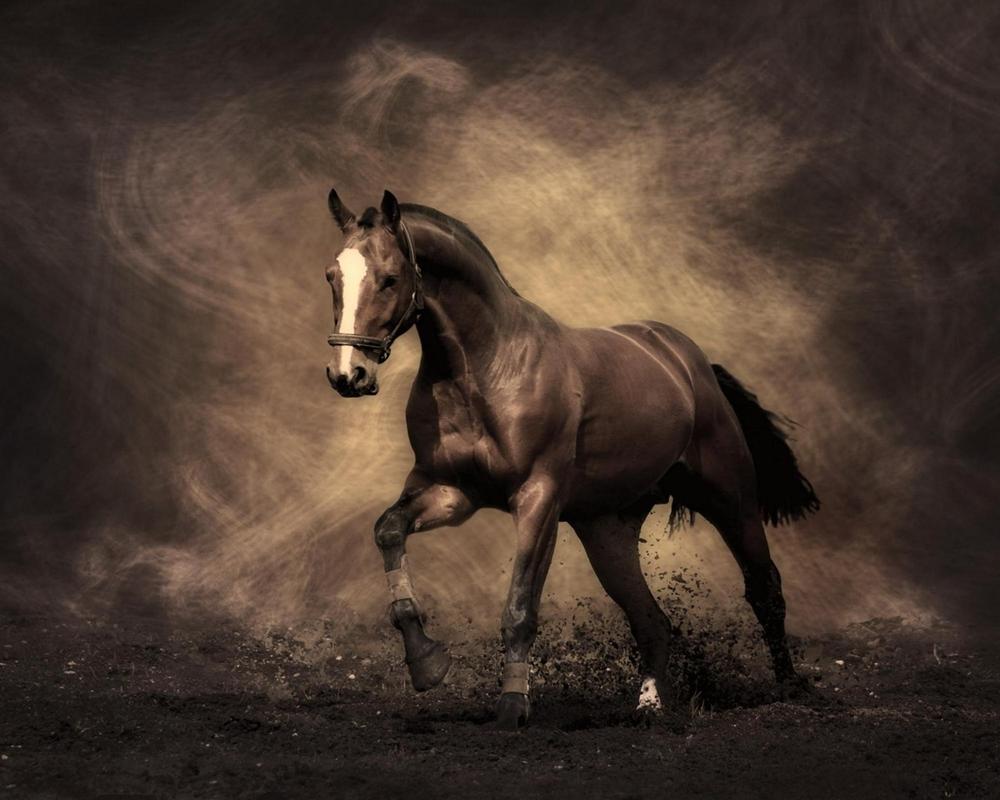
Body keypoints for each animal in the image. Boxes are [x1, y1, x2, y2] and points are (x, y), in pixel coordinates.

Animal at [322, 188, 820, 729]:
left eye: (391, 278)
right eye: (332, 276)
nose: (348, 374)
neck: (486, 368)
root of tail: (689, 363)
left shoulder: (538, 500)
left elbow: (520, 608)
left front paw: (512, 708)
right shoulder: (452, 492)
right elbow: (388, 531)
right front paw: (427, 664)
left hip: (730, 498)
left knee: (764, 588)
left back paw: (789, 689)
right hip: (607, 531)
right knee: (651, 619)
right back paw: (649, 706)